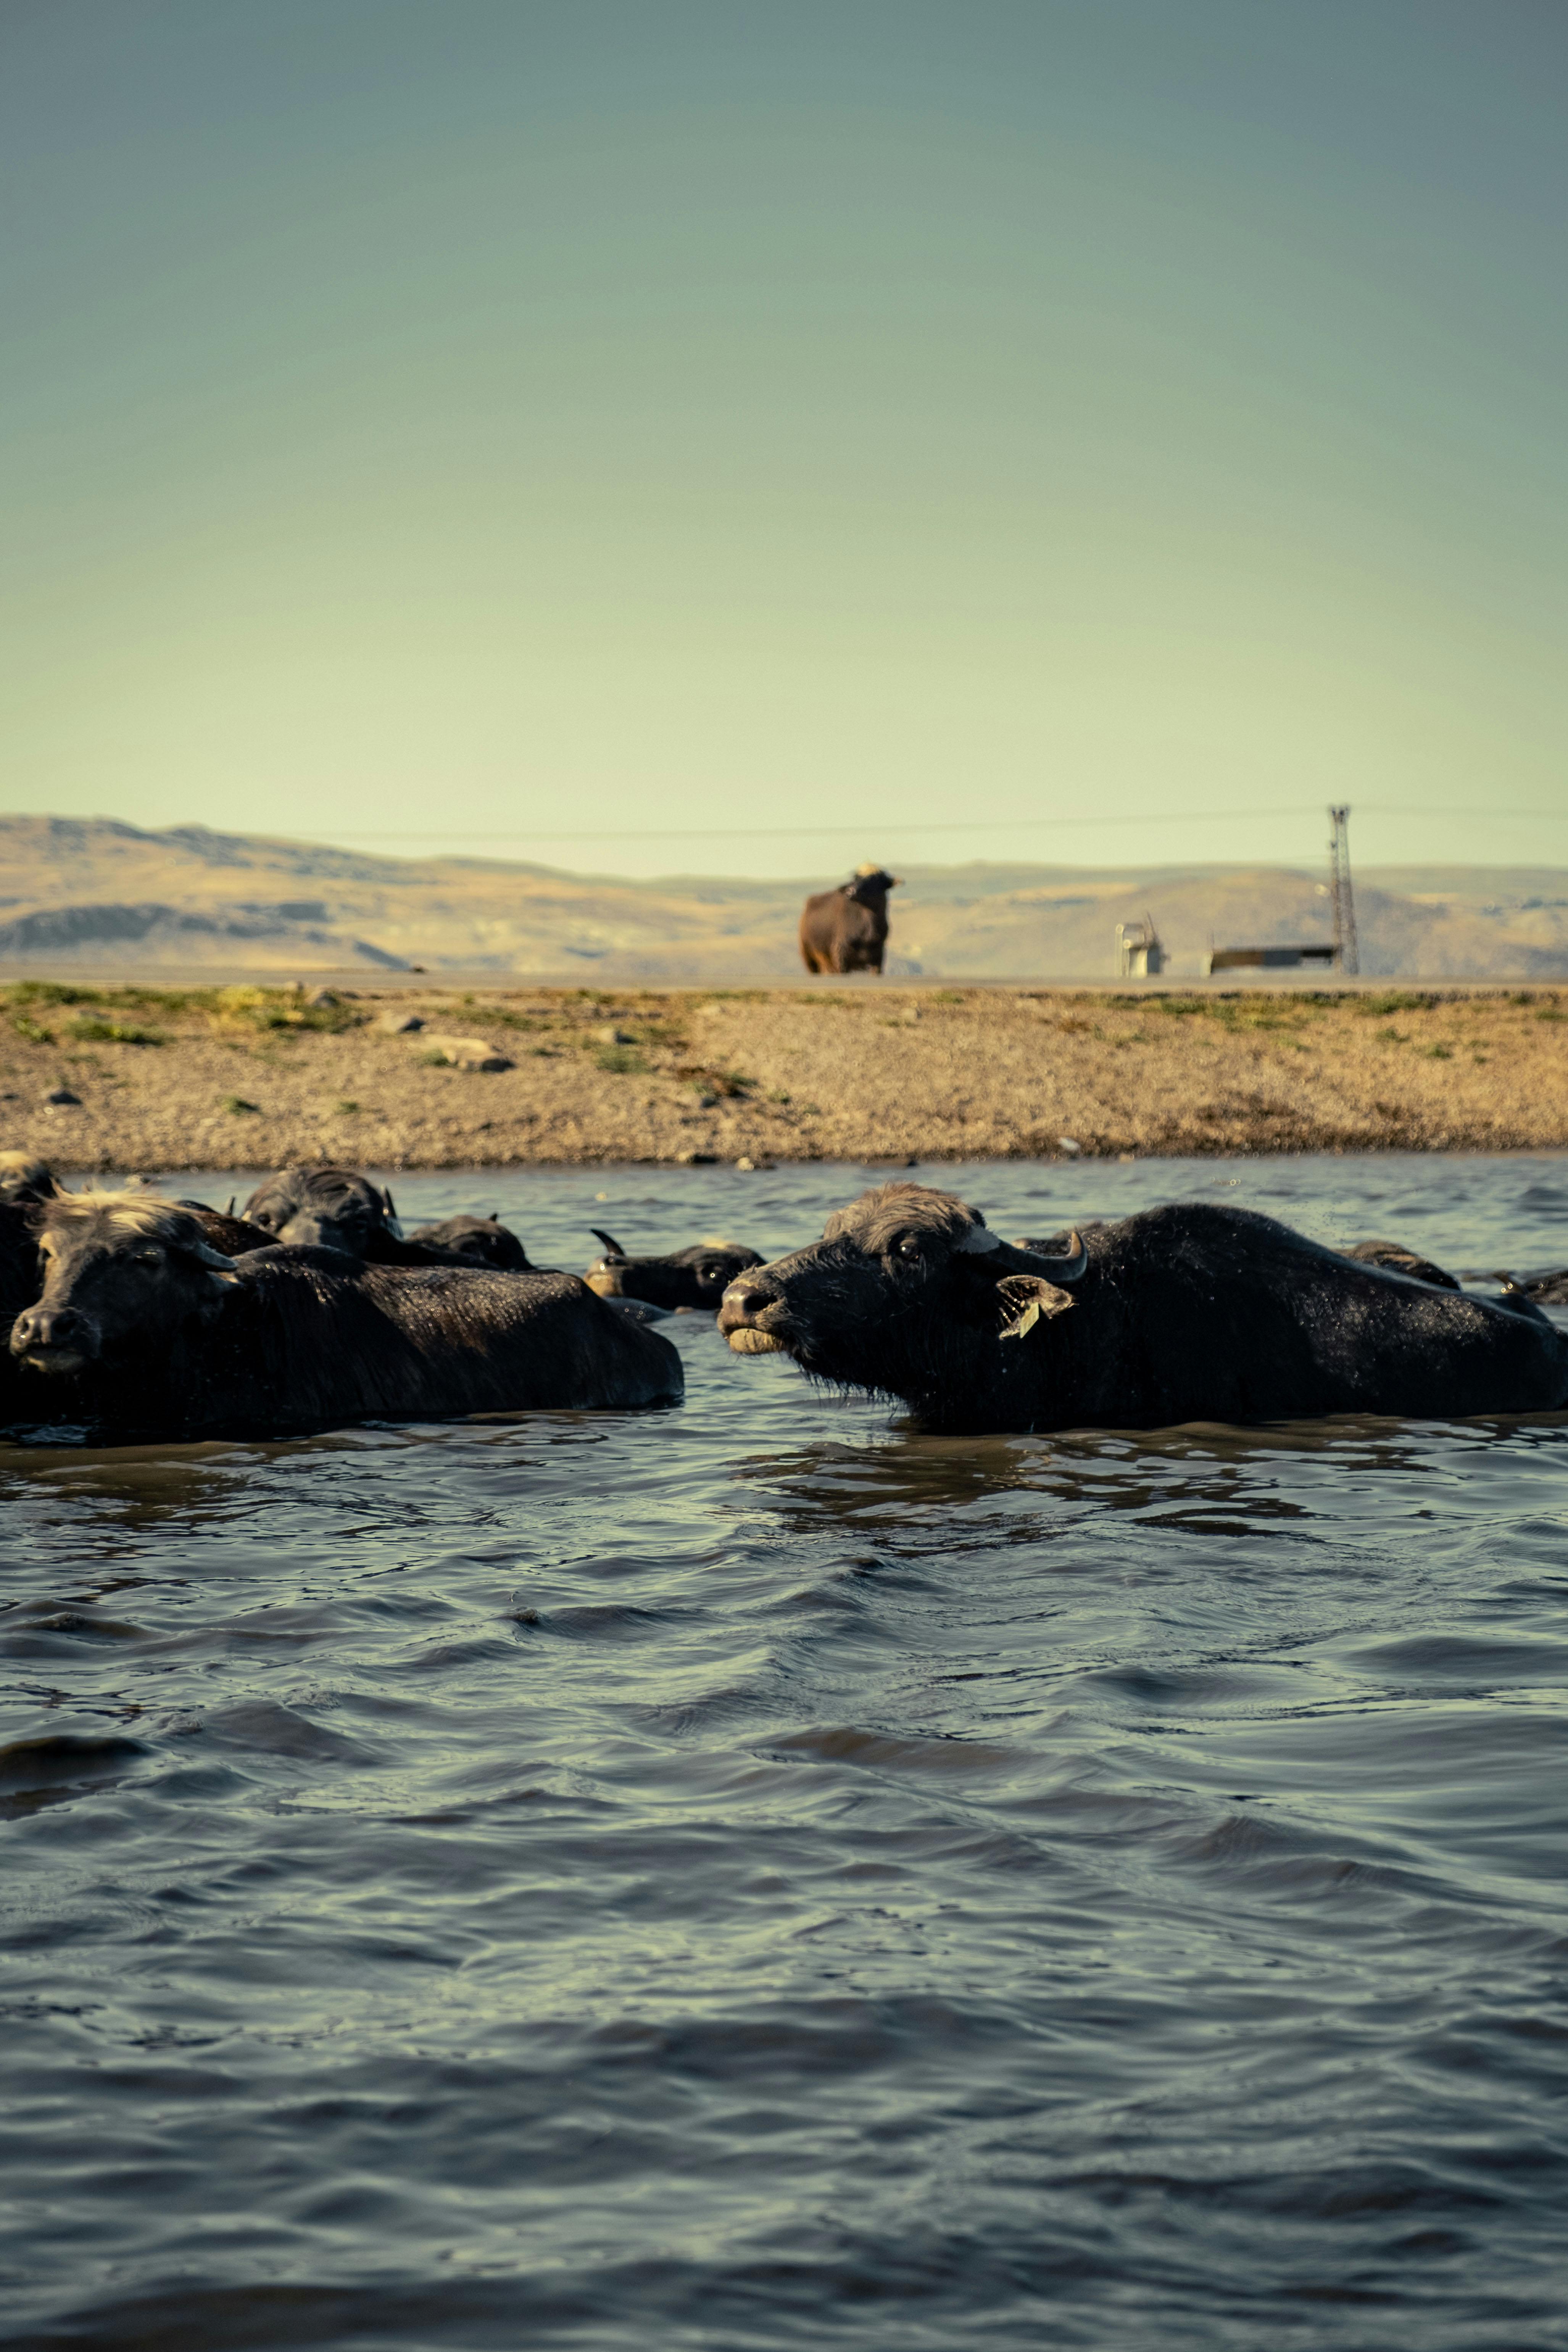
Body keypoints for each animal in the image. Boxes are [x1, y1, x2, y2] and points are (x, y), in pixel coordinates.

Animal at [799, 866, 900, 975]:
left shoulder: (878, 959)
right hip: (809, 958)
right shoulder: (841, 957)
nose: (851, 891)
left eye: (875, 879)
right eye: (855, 878)